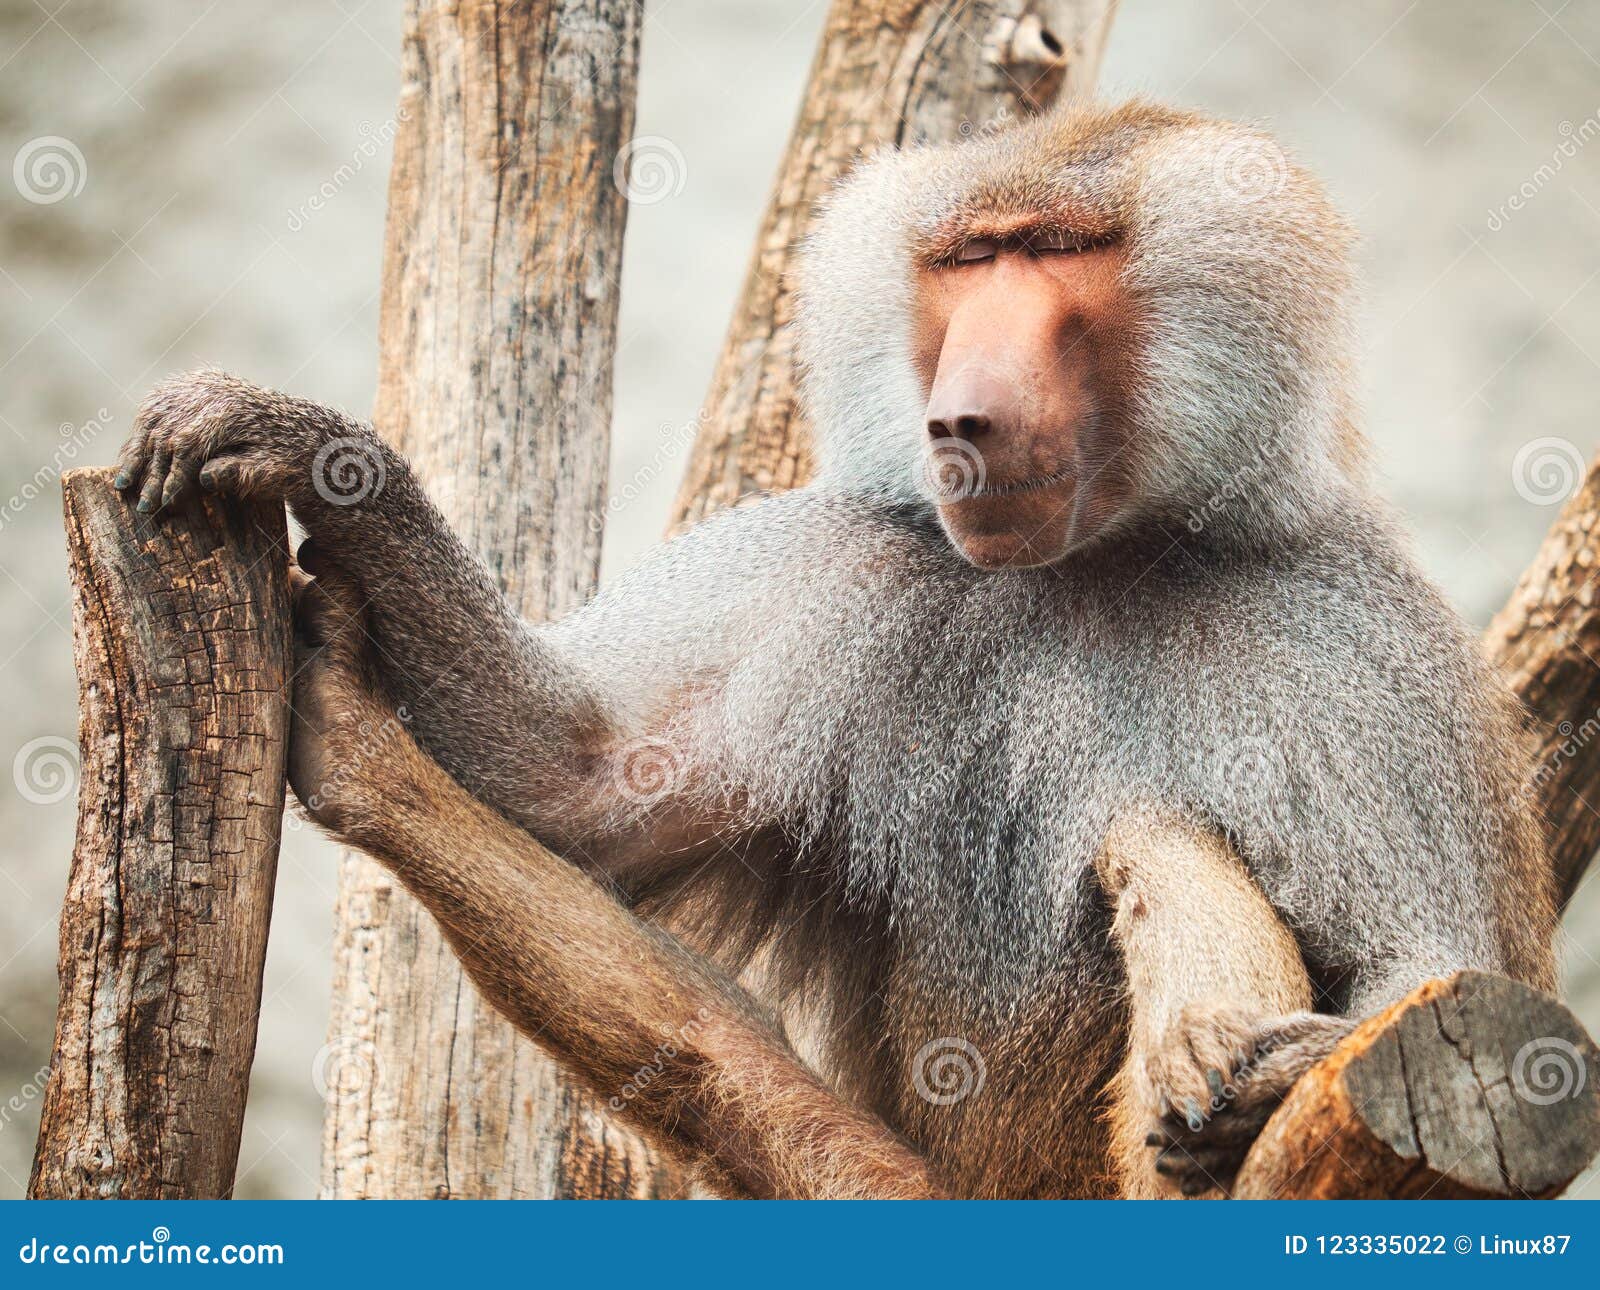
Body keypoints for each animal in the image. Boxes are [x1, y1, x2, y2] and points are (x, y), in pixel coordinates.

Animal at [112, 99, 1558, 1199]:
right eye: (968, 262)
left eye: (1055, 253)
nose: (961, 416)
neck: (1096, 563)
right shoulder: (856, 576)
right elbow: (573, 773)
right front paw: (302, 448)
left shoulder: (1360, 647)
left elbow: (1429, 978)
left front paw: (1262, 1076)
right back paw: (360, 749)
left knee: (1166, 850)